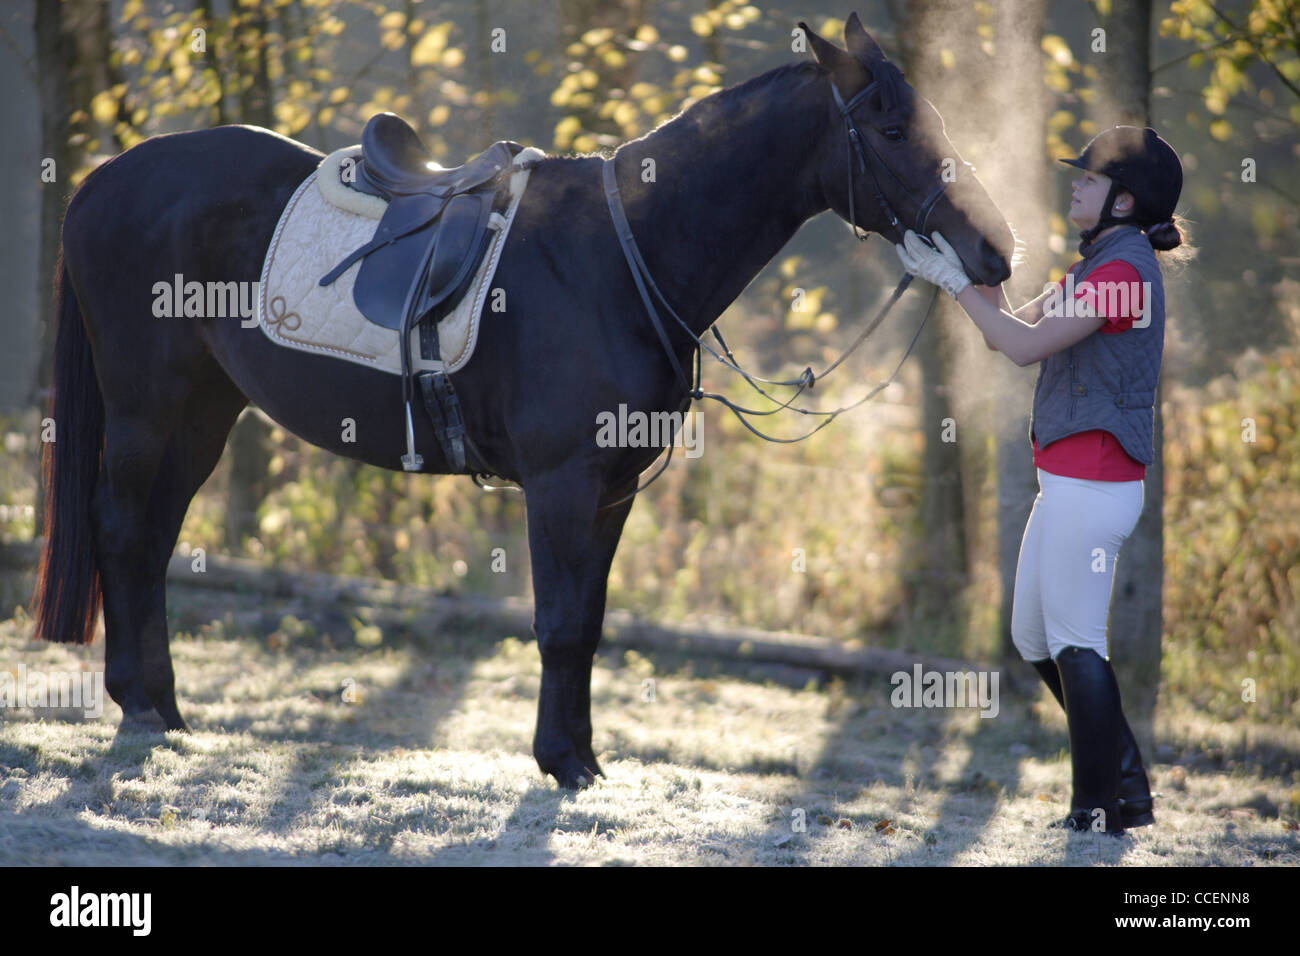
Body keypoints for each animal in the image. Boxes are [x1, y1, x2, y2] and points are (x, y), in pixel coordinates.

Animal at [33, 14, 1012, 789]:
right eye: (892, 127)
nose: (995, 253)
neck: (623, 255)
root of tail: (106, 177)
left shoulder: (612, 490)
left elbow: (590, 623)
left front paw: (582, 756)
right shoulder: (562, 484)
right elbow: (560, 622)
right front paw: (562, 761)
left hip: (202, 413)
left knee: (152, 541)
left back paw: (162, 708)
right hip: (148, 409)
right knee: (123, 529)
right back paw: (139, 706)